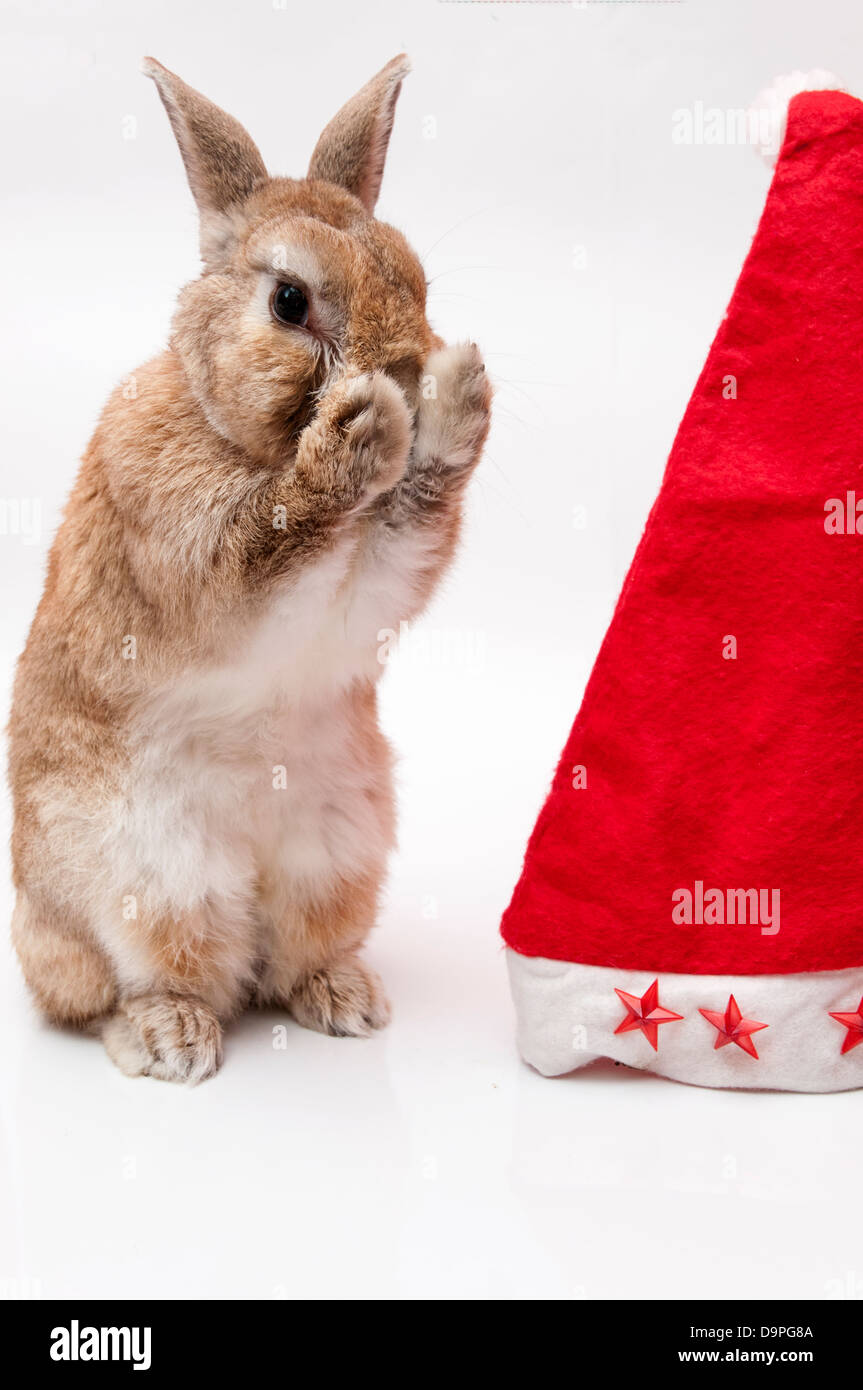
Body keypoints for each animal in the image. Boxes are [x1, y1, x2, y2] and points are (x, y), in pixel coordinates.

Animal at [8, 55, 492, 1083]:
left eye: (415, 277)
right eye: (289, 302)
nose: (405, 366)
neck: (233, 429)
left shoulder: (369, 583)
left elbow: (400, 544)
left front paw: (457, 400)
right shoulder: (204, 558)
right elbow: (268, 547)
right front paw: (363, 431)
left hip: (341, 851)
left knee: (286, 958)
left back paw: (345, 1002)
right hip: (147, 882)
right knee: (132, 983)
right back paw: (170, 1039)